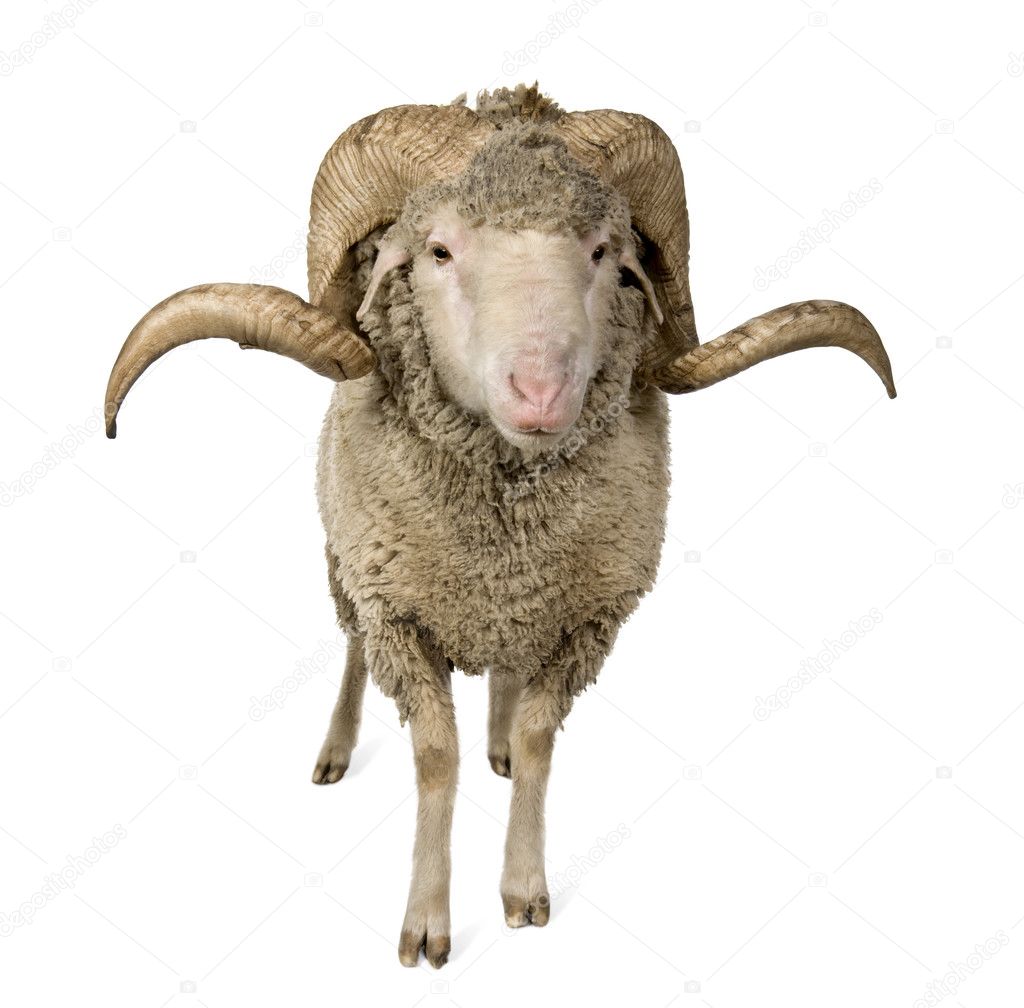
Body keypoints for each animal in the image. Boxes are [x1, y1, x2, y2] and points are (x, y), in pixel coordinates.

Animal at [103, 83, 896, 969]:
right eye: (438, 251)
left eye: (607, 252)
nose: (542, 390)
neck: (504, 532)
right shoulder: (397, 614)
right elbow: (434, 757)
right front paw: (426, 923)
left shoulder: (588, 619)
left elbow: (543, 734)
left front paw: (522, 888)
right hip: (345, 567)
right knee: (350, 649)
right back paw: (338, 749)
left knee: (506, 680)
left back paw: (500, 742)